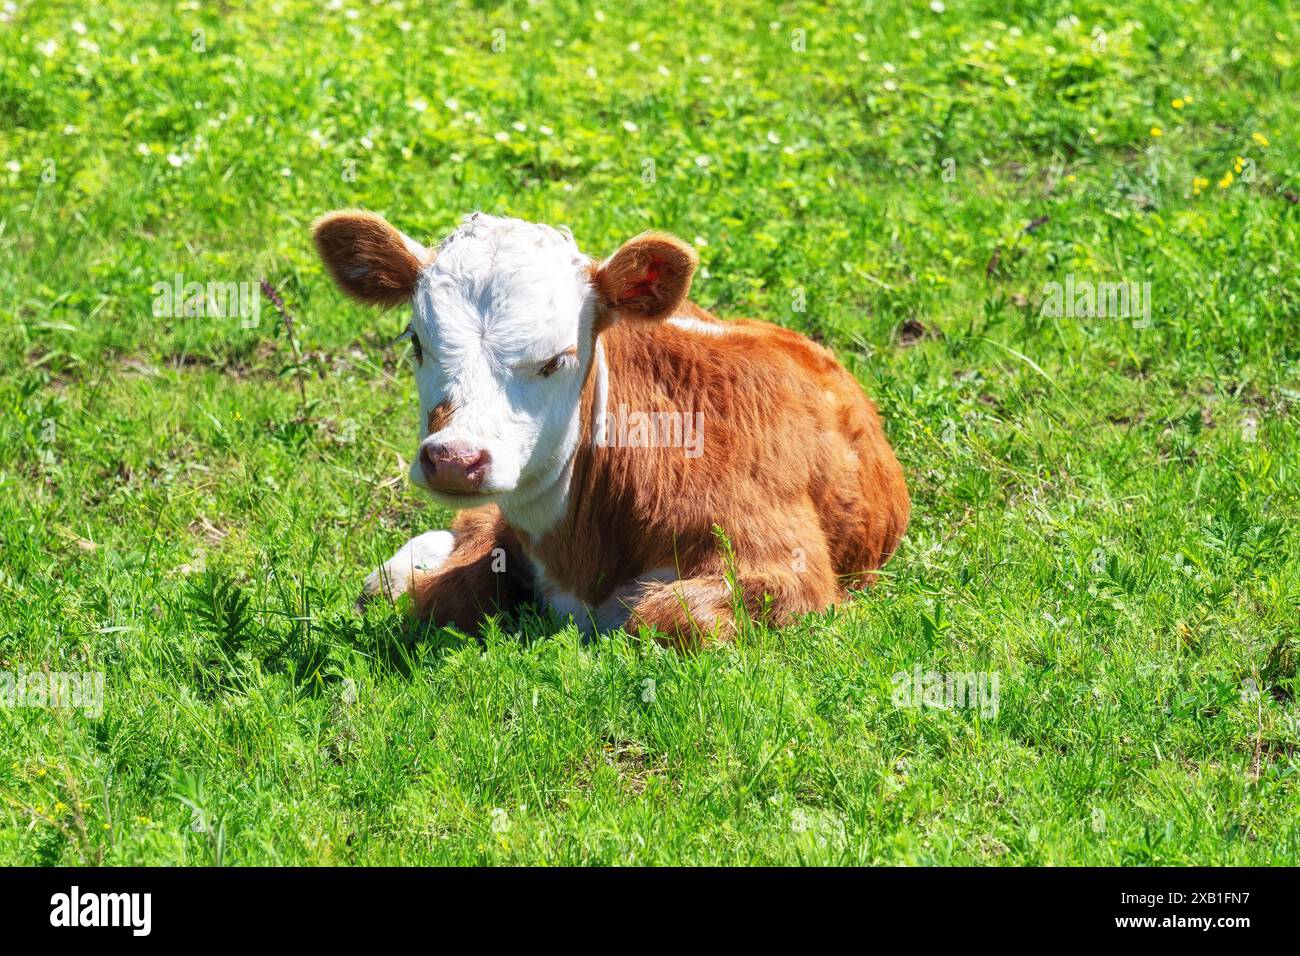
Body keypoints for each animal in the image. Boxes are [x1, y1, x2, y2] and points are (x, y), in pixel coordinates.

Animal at [313, 210, 909, 646]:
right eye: (417, 342)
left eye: (557, 359)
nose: (455, 460)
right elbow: (444, 593)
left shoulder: (791, 569)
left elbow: (665, 616)